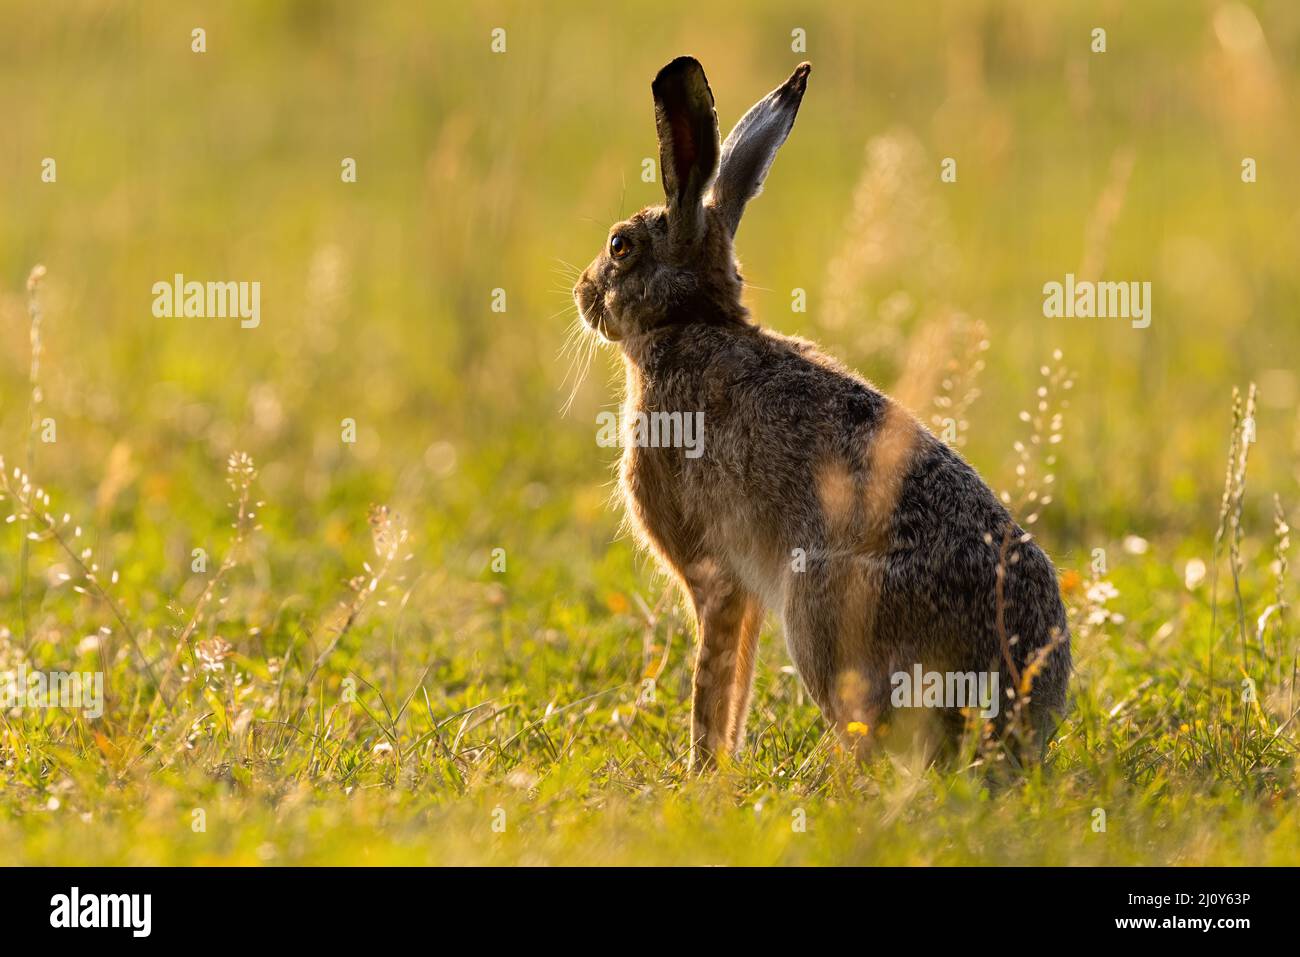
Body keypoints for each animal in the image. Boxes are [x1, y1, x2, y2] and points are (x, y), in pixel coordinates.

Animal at [573, 56, 1070, 769]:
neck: (688, 322)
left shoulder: (713, 573)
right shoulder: (748, 597)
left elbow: (710, 679)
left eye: (620, 246)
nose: (582, 293)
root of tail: (1009, 713)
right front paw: (724, 767)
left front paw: (699, 771)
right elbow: (738, 680)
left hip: (817, 614)